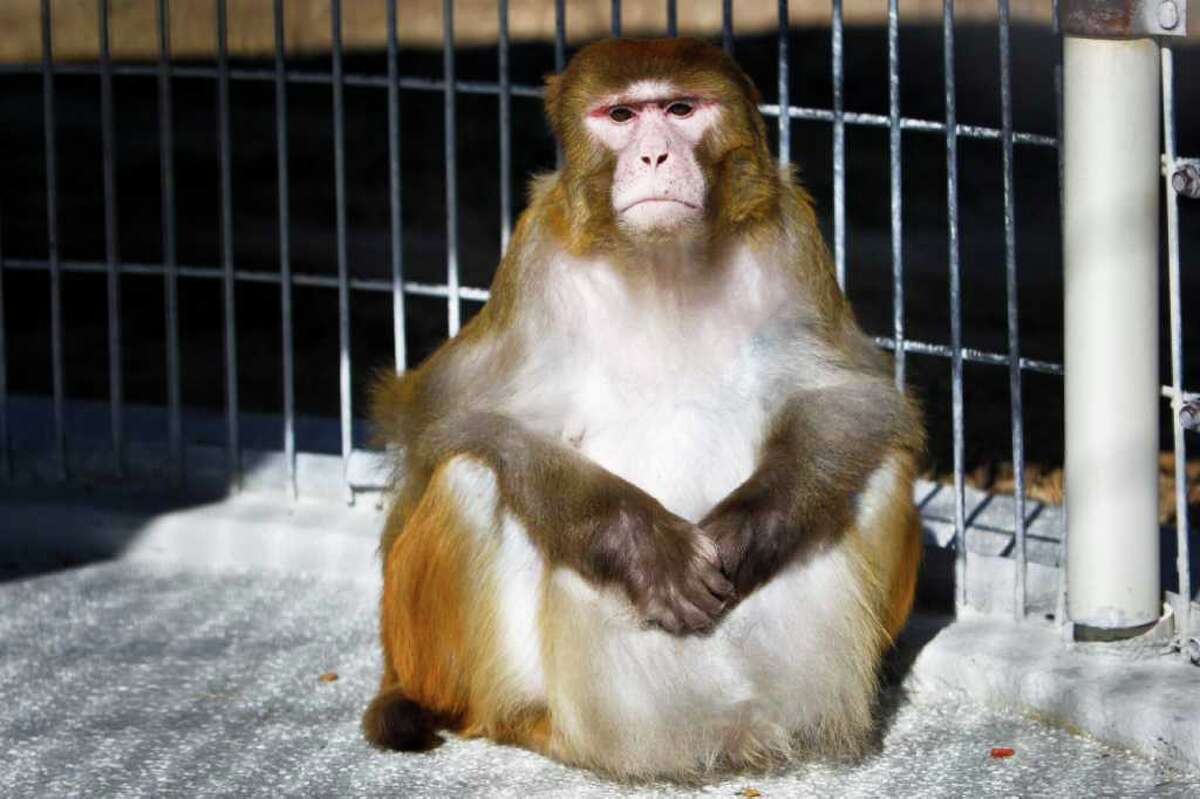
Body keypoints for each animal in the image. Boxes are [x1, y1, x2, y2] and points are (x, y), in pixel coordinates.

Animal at [362, 37, 925, 780]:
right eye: (622, 116)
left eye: (680, 110)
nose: (655, 156)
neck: (664, 263)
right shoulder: (533, 259)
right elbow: (464, 422)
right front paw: (649, 551)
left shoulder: (793, 240)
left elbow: (849, 396)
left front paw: (745, 534)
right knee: (470, 475)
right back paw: (520, 721)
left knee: (879, 463)